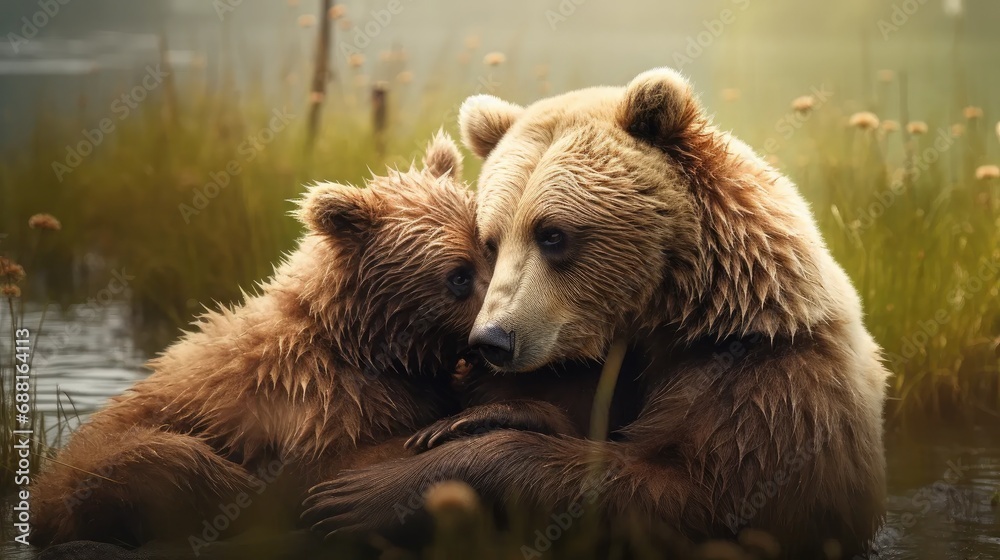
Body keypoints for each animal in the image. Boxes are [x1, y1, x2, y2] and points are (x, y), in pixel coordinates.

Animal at [29, 131, 493, 548]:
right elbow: (333, 469)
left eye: (491, 247)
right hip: (101, 463)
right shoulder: (310, 402)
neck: (360, 342)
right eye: (459, 275)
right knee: (175, 464)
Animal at [303, 68, 890, 558]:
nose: (492, 340)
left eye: (552, 234)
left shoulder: (763, 380)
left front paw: (359, 493)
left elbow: (695, 499)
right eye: (492, 240)